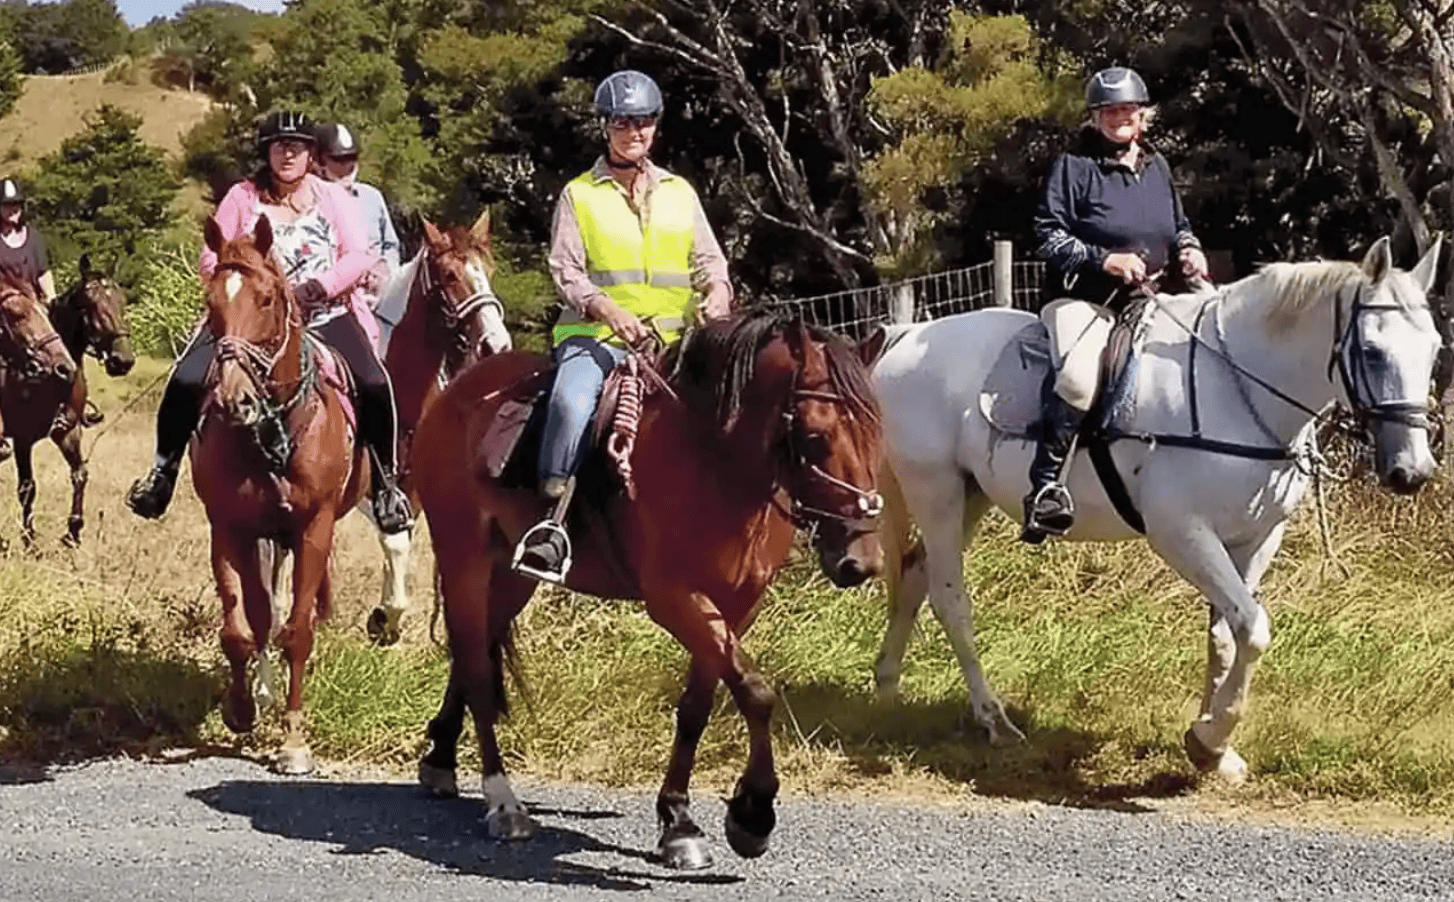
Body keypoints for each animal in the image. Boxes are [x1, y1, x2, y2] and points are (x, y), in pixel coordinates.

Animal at [193, 213, 368, 775]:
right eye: (211, 303)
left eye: (267, 299)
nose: (233, 400)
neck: (274, 431)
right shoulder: (229, 526)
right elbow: (240, 627)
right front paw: (242, 709)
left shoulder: (314, 528)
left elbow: (298, 631)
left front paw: (293, 740)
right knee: (262, 609)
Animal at [411, 311, 884, 868]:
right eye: (814, 436)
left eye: (878, 434)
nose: (862, 560)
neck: (713, 464)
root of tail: (456, 391)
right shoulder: (674, 598)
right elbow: (757, 692)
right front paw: (753, 813)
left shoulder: (735, 605)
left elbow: (698, 707)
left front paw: (678, 820)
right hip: (463, 560)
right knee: (478, 670)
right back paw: (502, 802)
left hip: (510, 575)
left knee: (474, 655)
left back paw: (441, 758)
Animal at [866, 236, 1442, 783]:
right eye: (1371, 351)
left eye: (1434, 348)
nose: (1411, 472)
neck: (1238, 391)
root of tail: (907, 338)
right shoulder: (1182, 533)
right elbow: (1254, 629)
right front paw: (1209, 738)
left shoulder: (1256, 537)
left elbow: (1228, 635)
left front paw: (1215, 751)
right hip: (937, 492)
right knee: (950, 600)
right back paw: (994, 721)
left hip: (970, 496)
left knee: (915, 576)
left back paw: (887, 693)